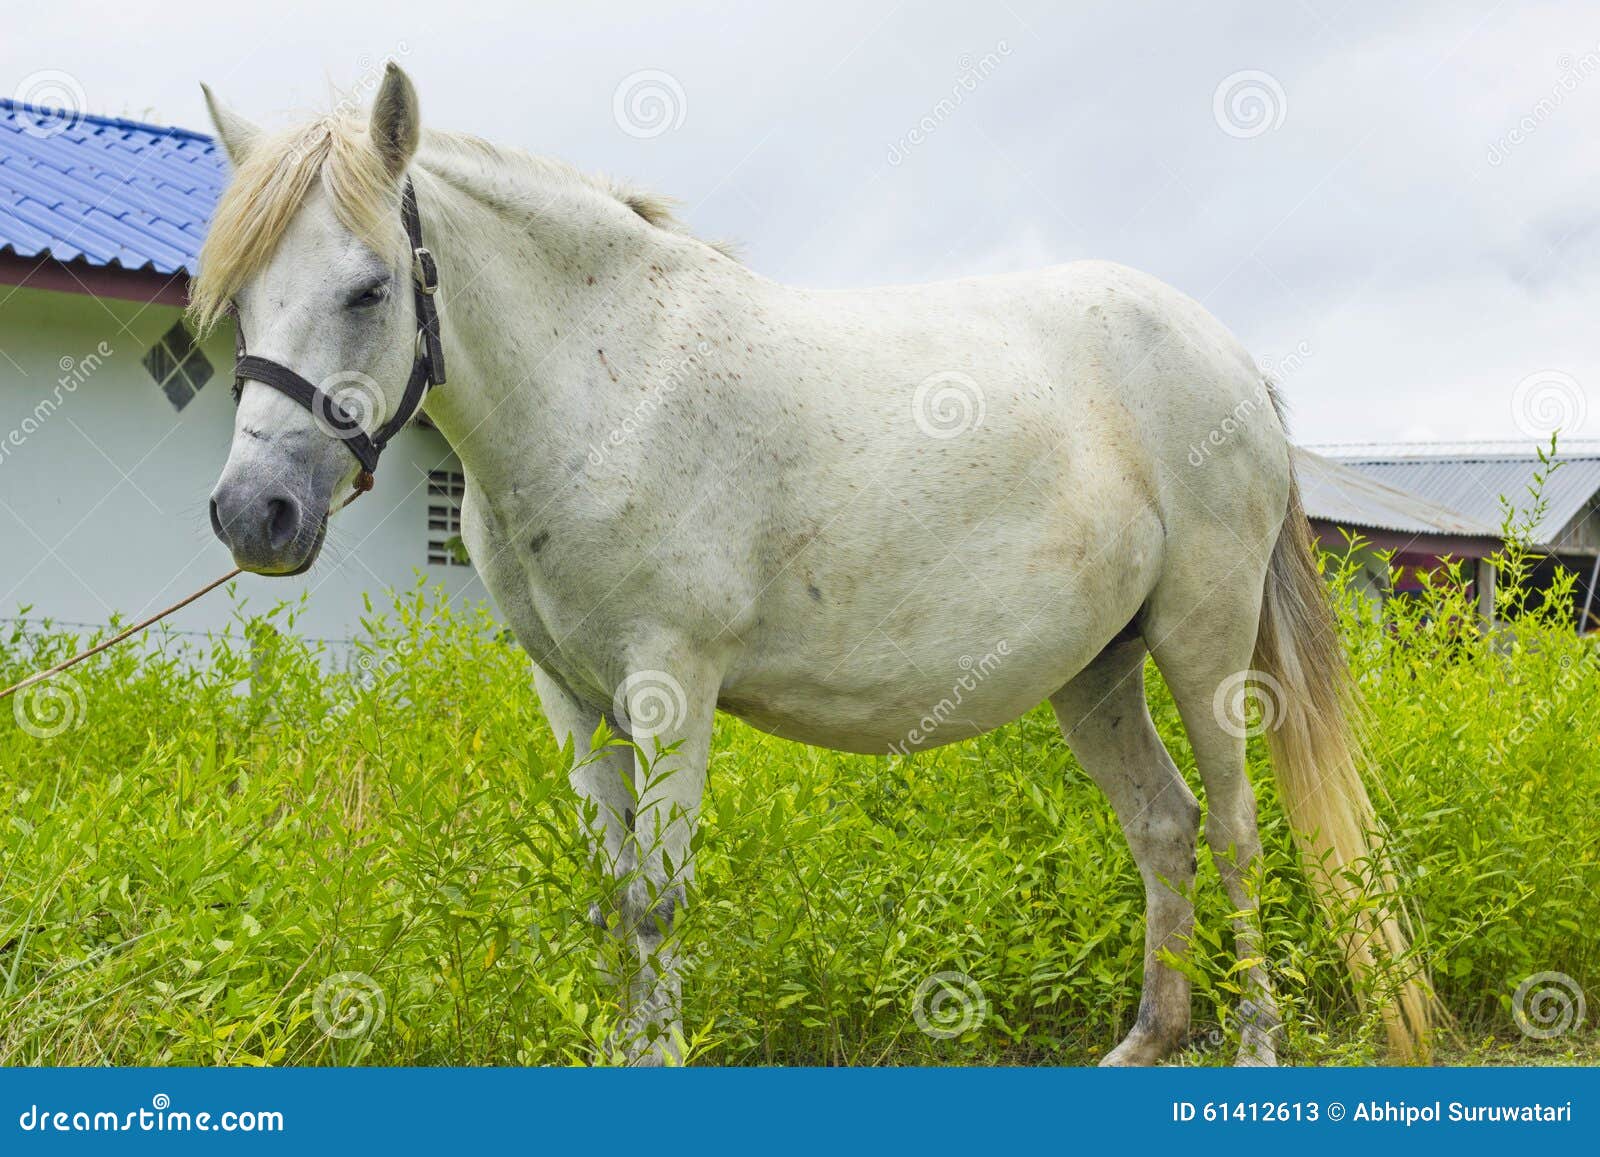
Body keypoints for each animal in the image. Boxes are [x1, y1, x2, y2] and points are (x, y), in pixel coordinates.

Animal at [195, 64, 1431, 1066]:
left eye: (368, 288)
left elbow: (656, 899)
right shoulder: (572, 696)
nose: (254, 513)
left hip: (1202, 641)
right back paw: (1147, 1037)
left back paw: (1256, 1043)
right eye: (244, 295)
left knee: (1233, 830)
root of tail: (1233, 362)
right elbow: (608, 894)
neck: (608, 387)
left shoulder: (670, 686)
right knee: (1162, 825)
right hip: (1096, 669)